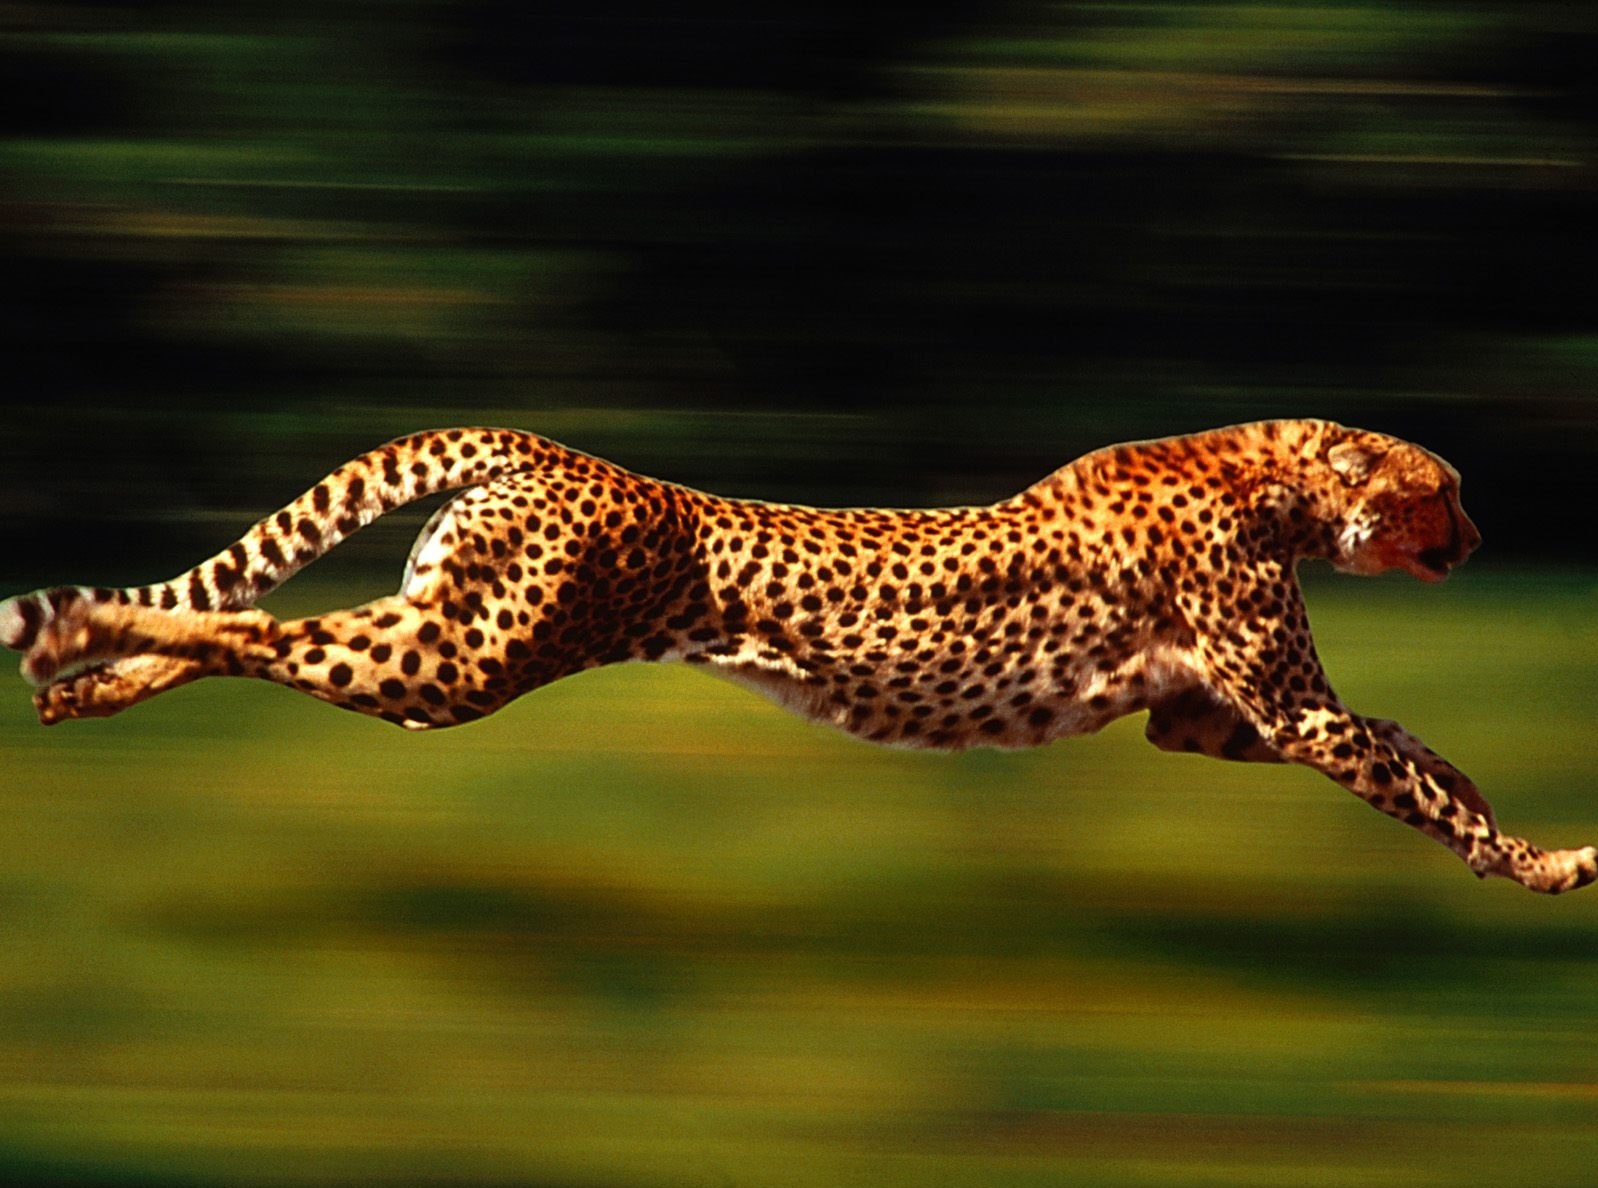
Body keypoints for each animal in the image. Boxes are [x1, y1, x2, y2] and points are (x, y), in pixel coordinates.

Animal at [2, 419, 1593, 894]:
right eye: (1444, 486)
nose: (1477, 527)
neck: (1274, 474)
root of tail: (542, 444)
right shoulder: (1281, 713)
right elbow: (1401, 766)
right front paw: (1542, 863)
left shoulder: (1200, 722)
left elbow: (1410, 746)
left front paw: (1503, 825)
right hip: (462, 662)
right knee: (259, 625)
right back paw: (79, 635)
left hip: (435, 642)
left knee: (265, 632)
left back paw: (87, 678)